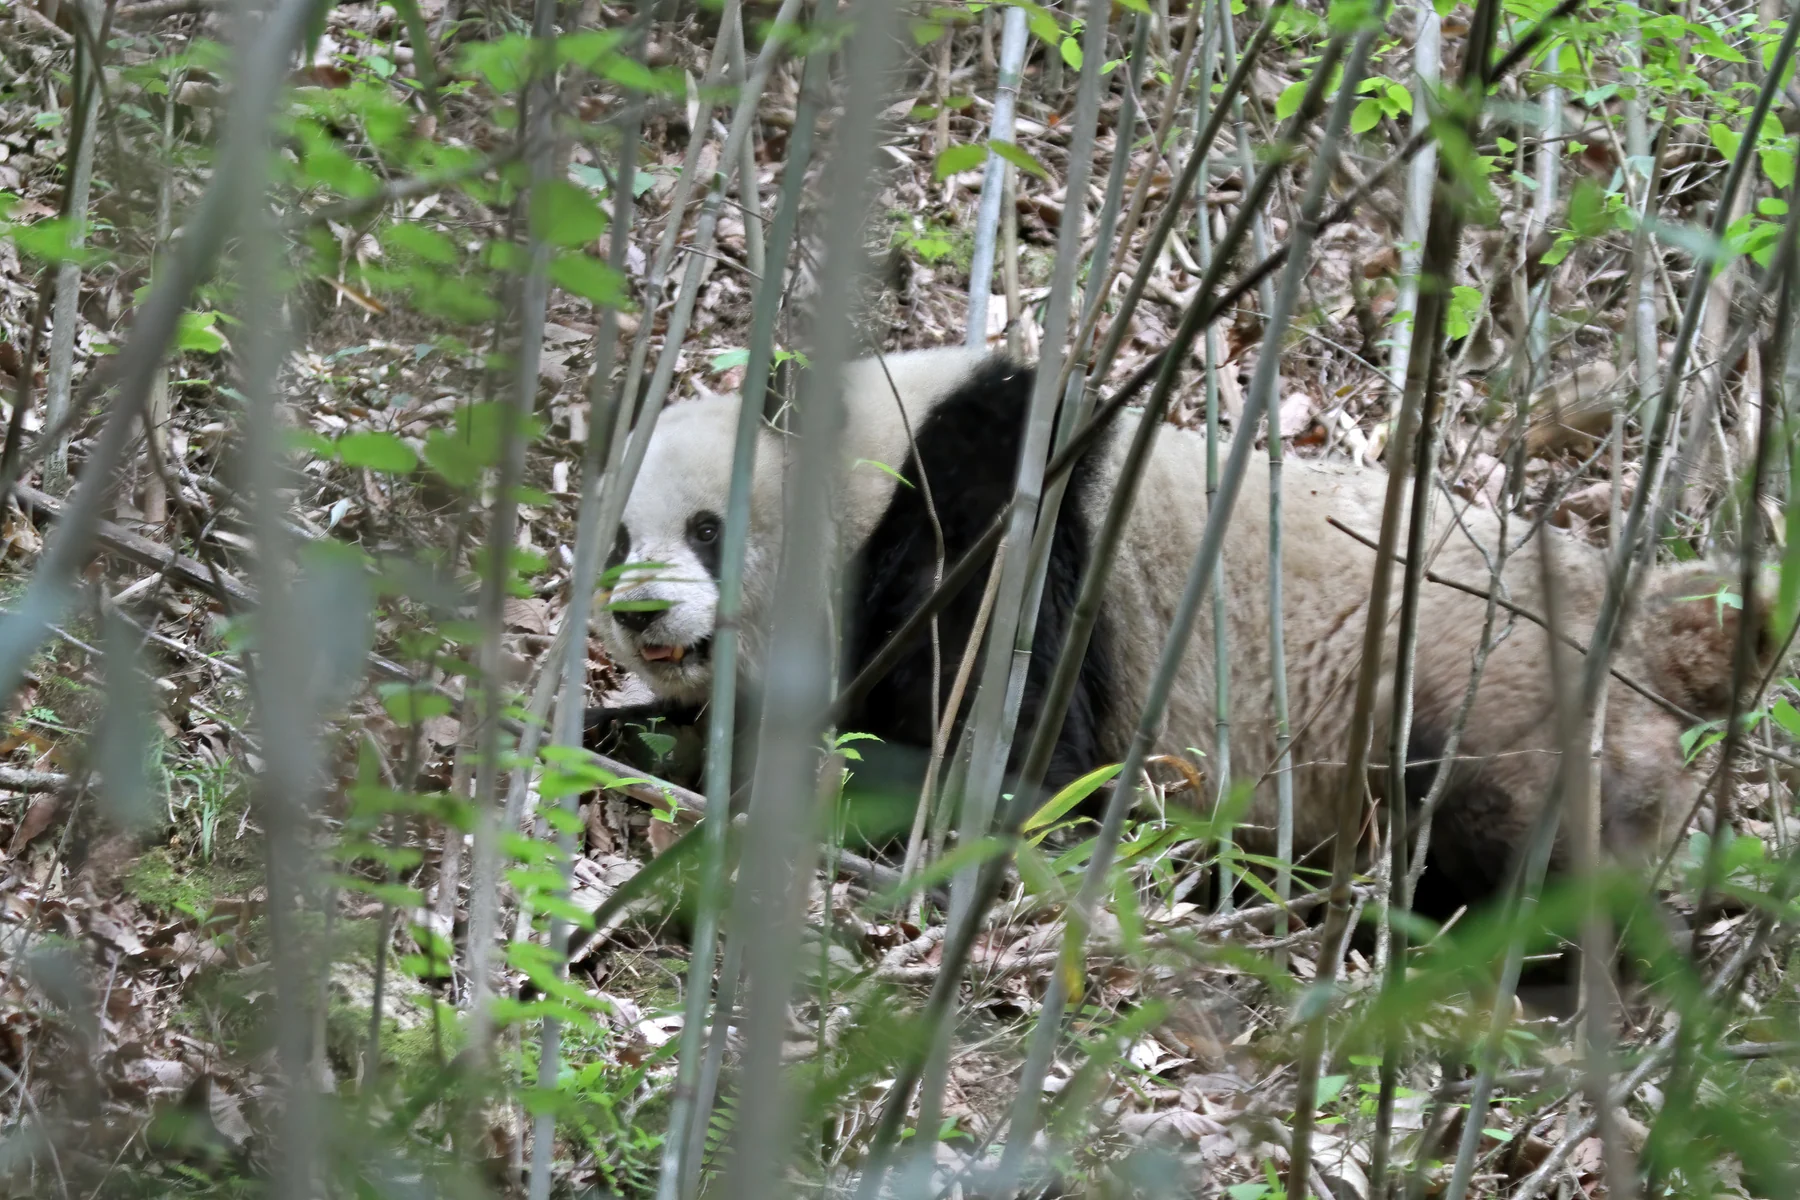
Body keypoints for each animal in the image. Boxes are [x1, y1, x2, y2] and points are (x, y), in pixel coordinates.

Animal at [592, 345, 1769, 917]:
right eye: (616, 539)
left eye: (708, 528)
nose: (641, 613)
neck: (875, 454)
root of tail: (1656, 636)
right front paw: (639, 746)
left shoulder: (998, 522)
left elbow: (1015, 767)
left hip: (1492, 684)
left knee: (1515, 833)